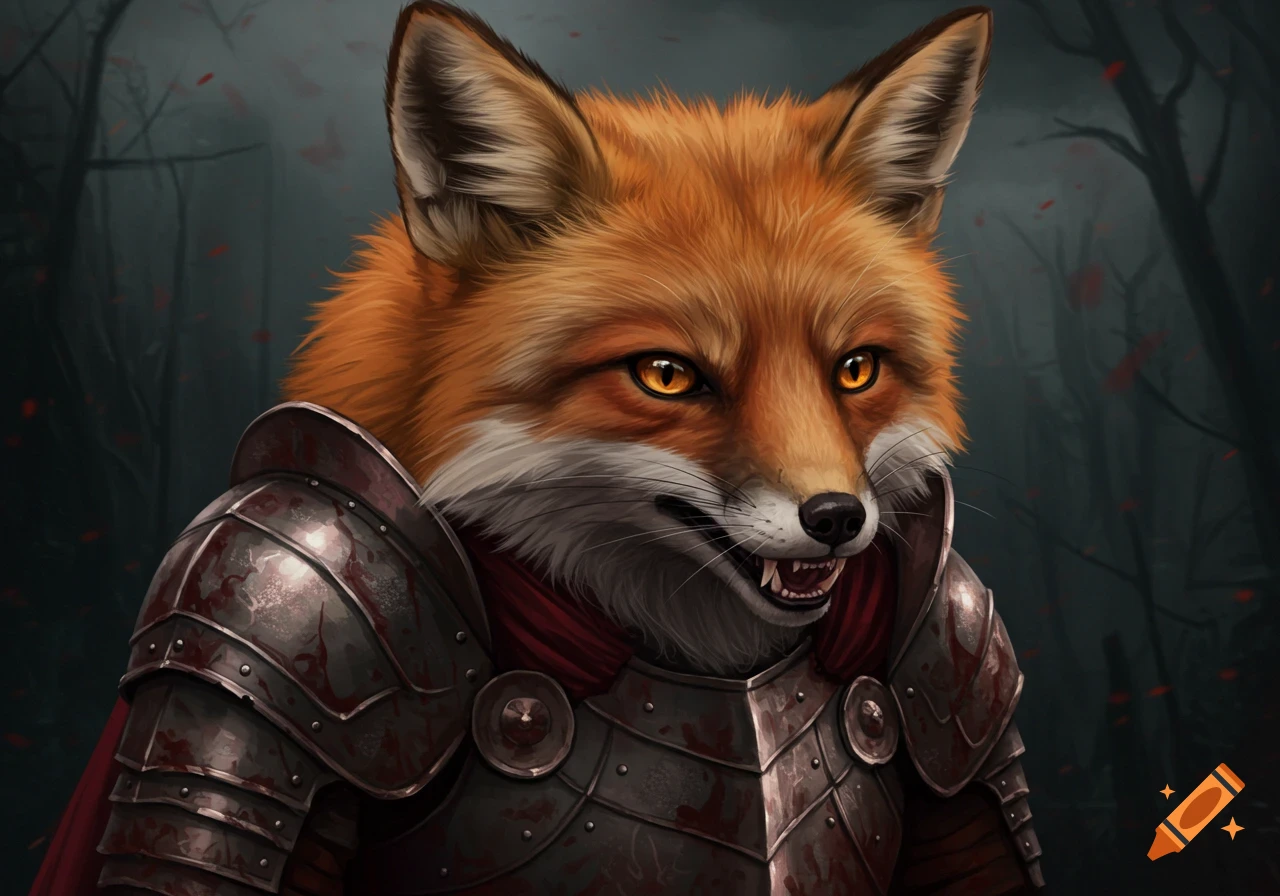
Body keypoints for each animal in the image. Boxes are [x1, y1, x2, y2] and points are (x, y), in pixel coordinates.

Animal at [34, 4, 1043, 896]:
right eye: (667, 376)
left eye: (856, 369)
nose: (837, 519)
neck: (694, 658)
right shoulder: (280, 613)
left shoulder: (957, 674)